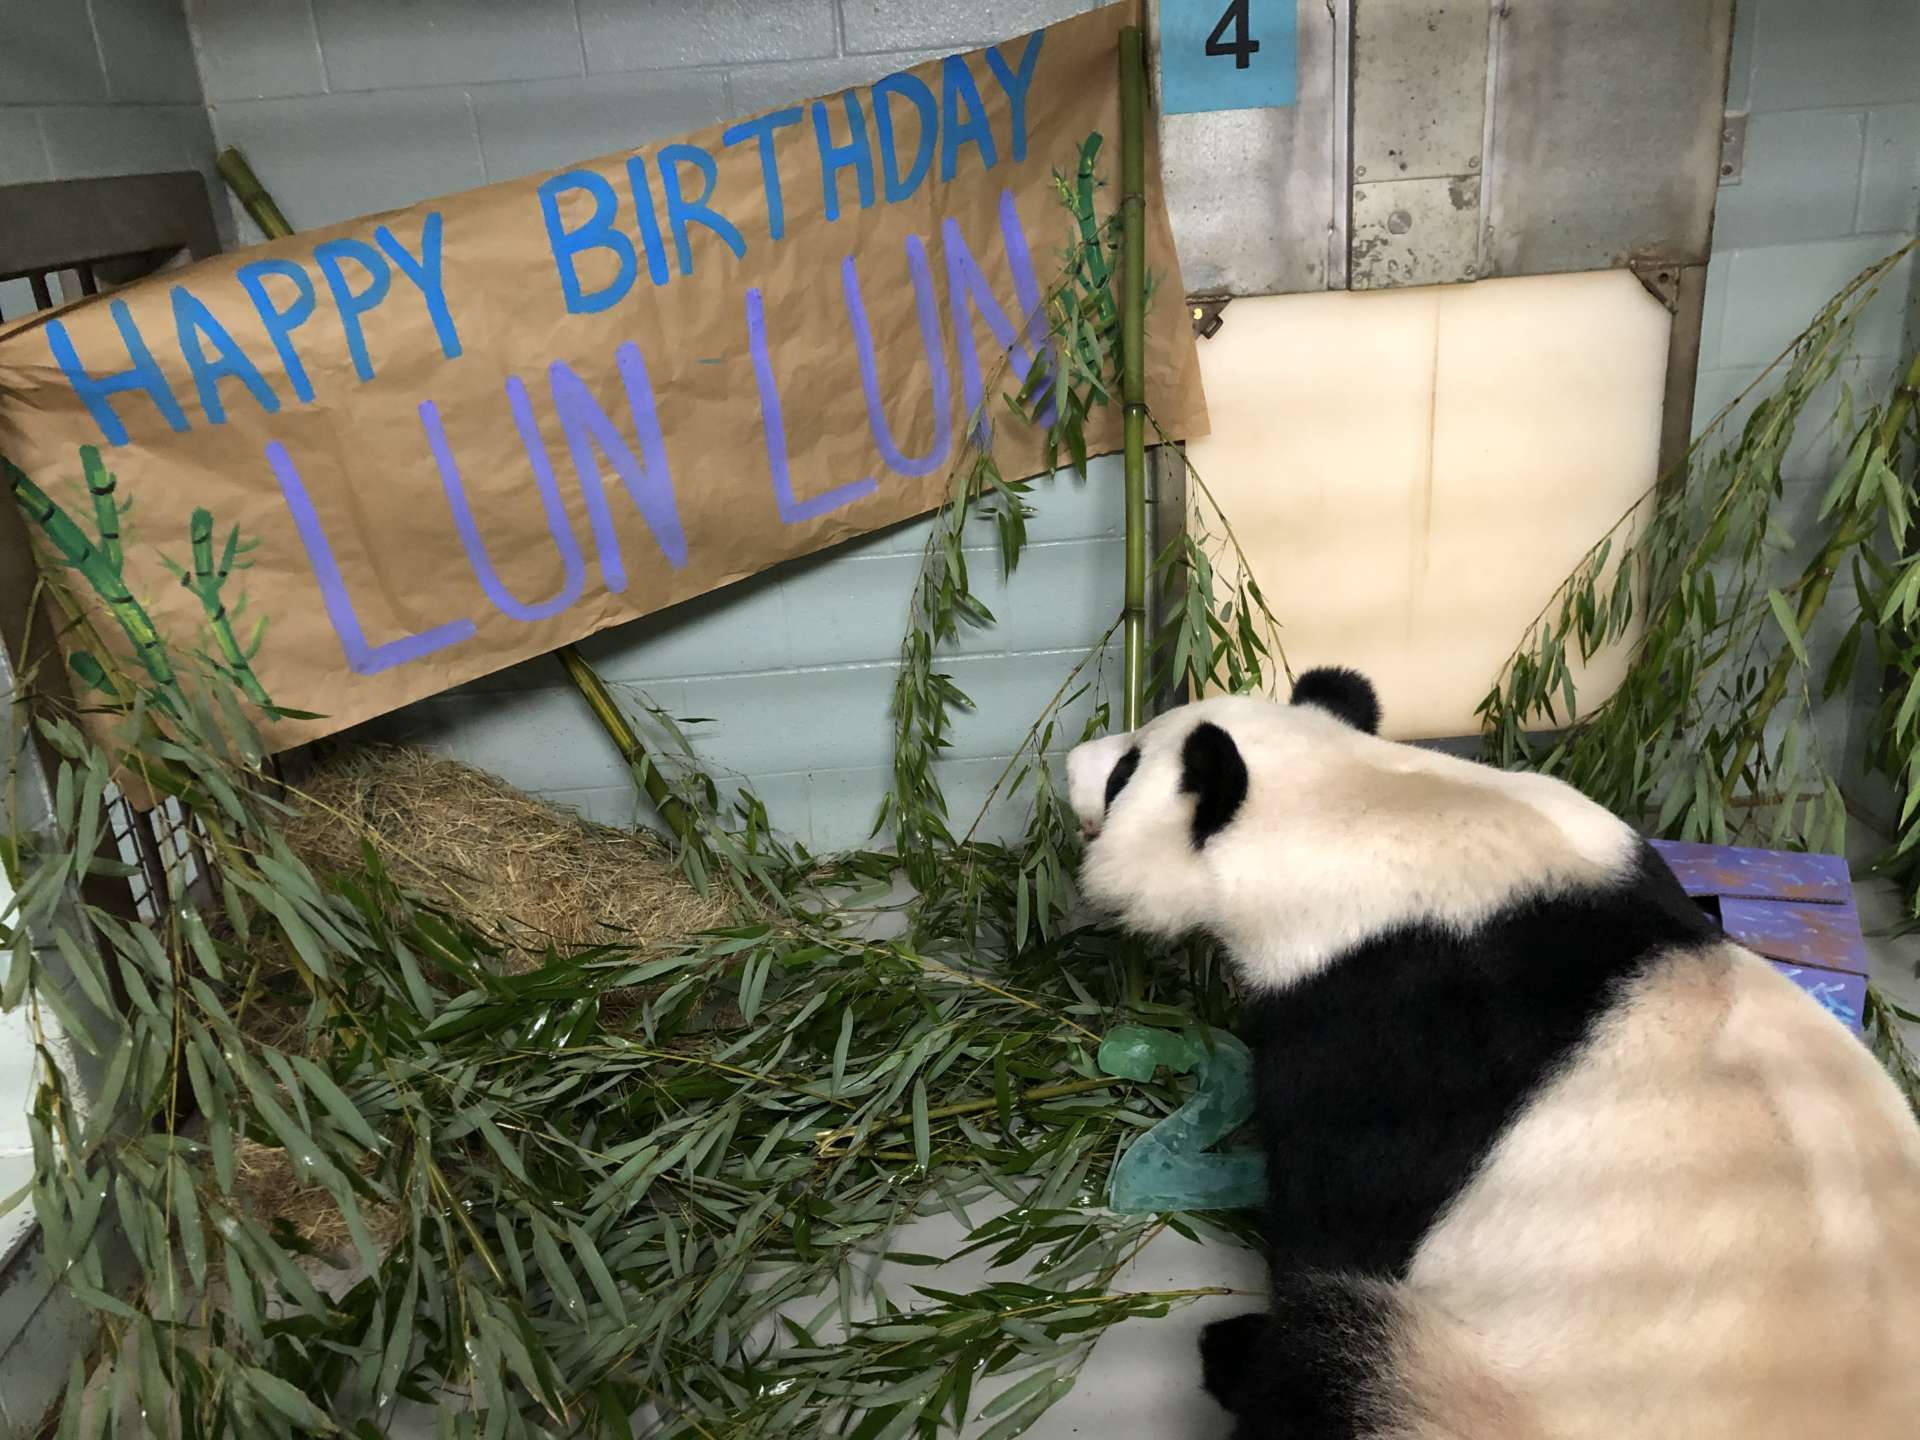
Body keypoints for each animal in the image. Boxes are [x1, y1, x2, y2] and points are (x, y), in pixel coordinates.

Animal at [1065, 667, 1920, 1440]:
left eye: (1125, 770)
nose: (1069, 760)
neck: (1356, 802)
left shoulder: (1395, 1029)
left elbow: (1333, 1222)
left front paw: (1247, 1345)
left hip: (1481, 1391)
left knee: (1347, 1364)